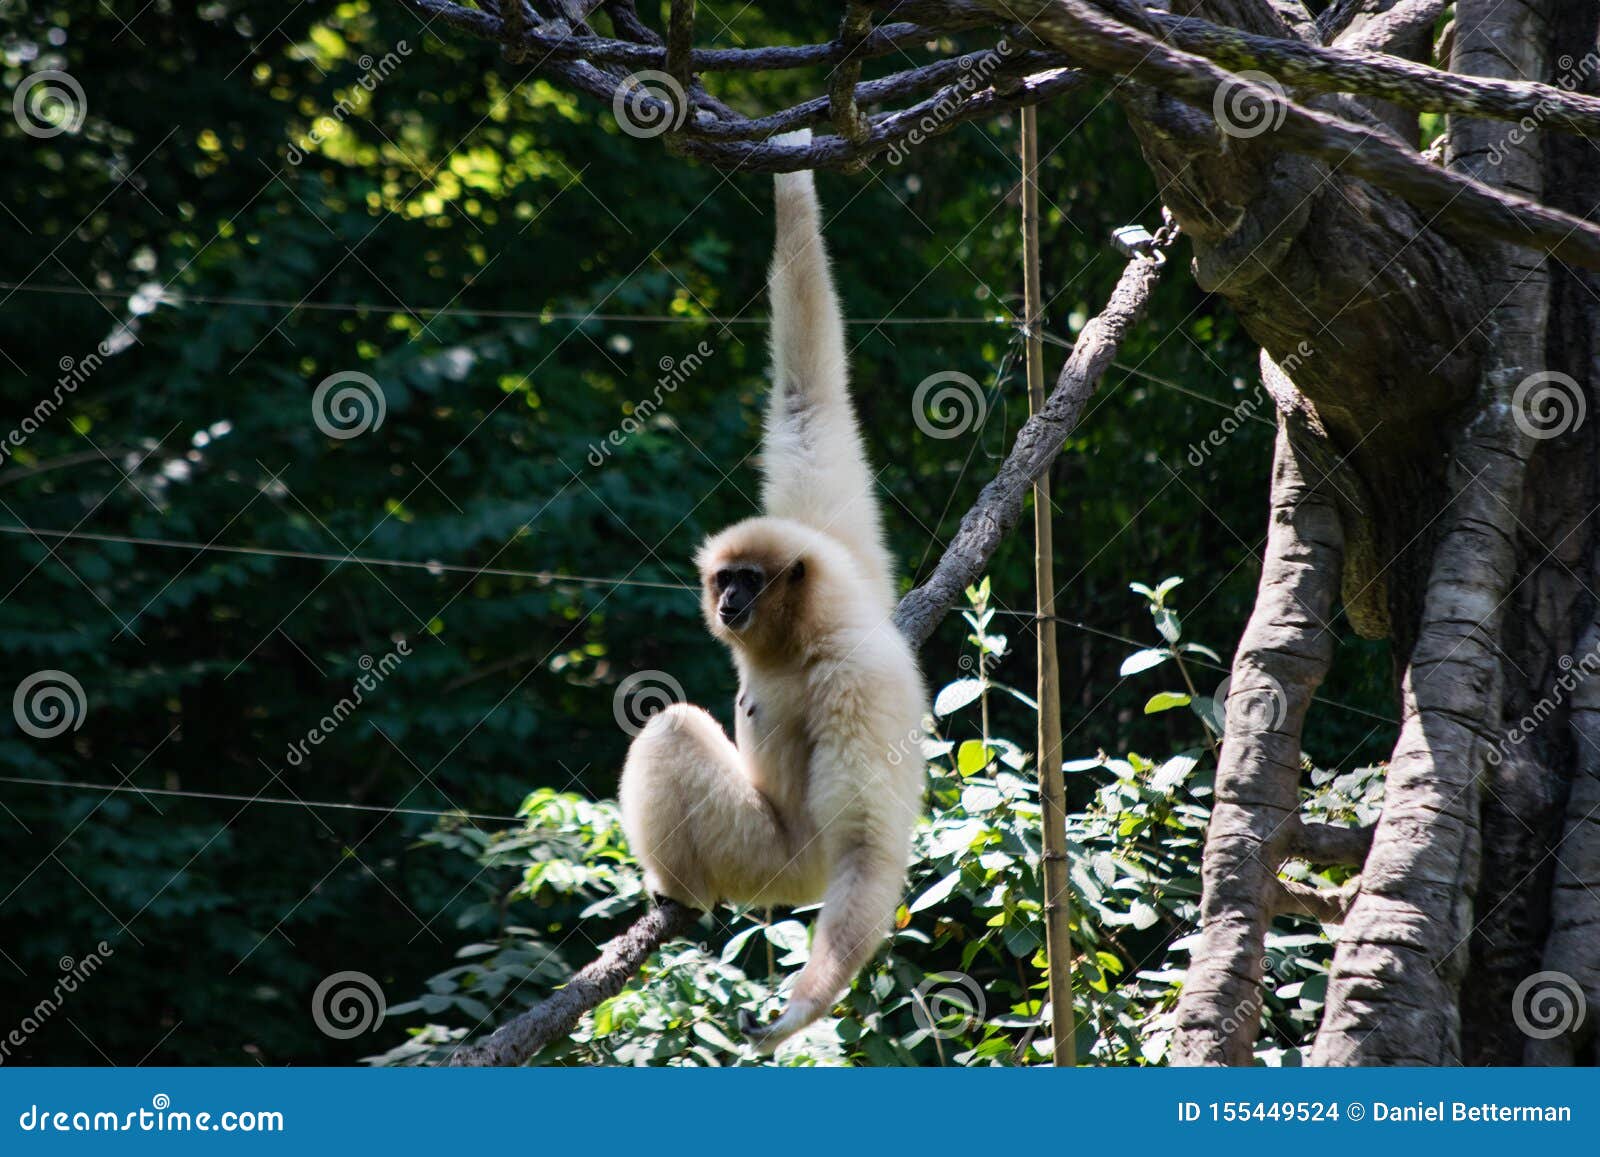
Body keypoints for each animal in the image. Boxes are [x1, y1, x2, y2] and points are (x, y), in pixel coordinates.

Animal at [618, 129, 927, 1055]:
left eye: (748, 583)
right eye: (725, 579)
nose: (727, 604)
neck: (810, 629)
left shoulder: (859, 678)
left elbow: (867, 842)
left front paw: (807, 1002)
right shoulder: (840, 547)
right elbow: (809, 404)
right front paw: (792, 175)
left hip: (775, 862)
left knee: (676, 731)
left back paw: (677, 889)